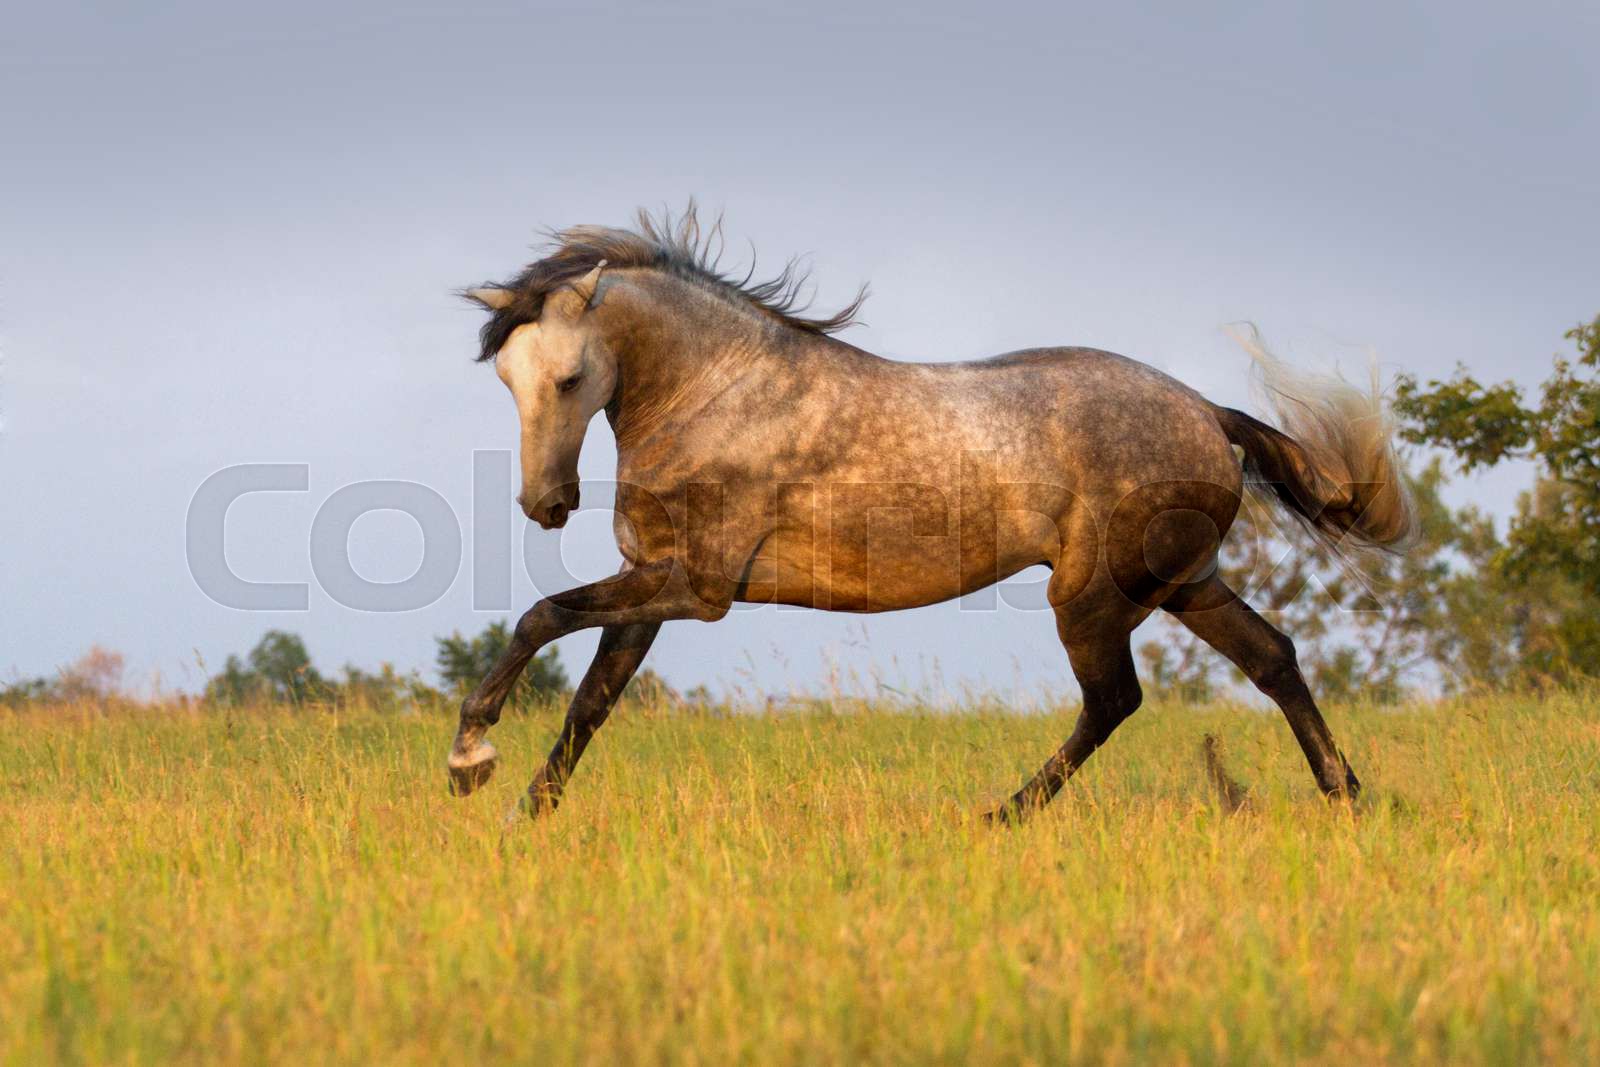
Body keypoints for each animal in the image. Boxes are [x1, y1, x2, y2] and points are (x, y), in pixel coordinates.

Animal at [447, 206, 1413, 822]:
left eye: (571, 376)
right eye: (508, 378)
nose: (546, 505)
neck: (719, 393)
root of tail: (1211, 414)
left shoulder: (695, 586)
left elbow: (541, 616)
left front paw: (470, 762)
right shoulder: (652, 585)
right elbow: (590, 702)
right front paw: (527, 814)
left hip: (1092, 594)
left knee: (1115, 699)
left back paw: (1002, 815)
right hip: (1184, 581)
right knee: (1273, 658)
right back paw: (1348, 797)